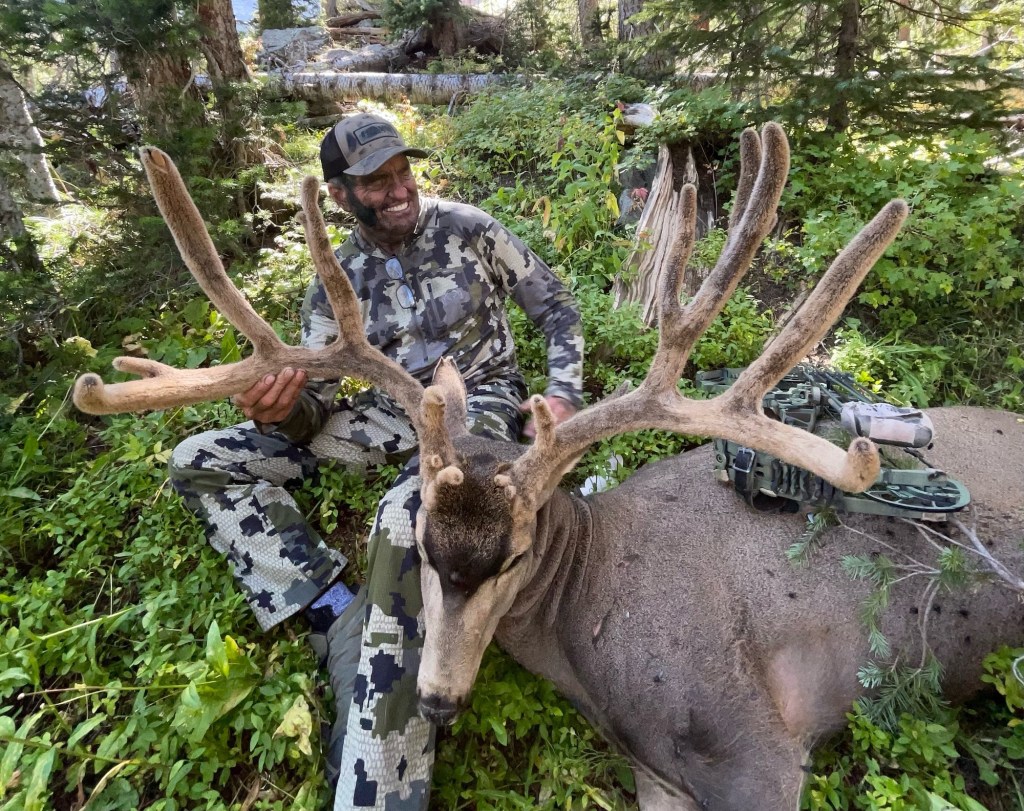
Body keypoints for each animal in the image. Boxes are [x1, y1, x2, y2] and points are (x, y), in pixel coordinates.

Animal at [74, 124, 1024, 810]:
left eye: (519, 555)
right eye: (422, 544)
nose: (436, 700)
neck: (594, 617)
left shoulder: (760, 751)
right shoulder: (658, 772)